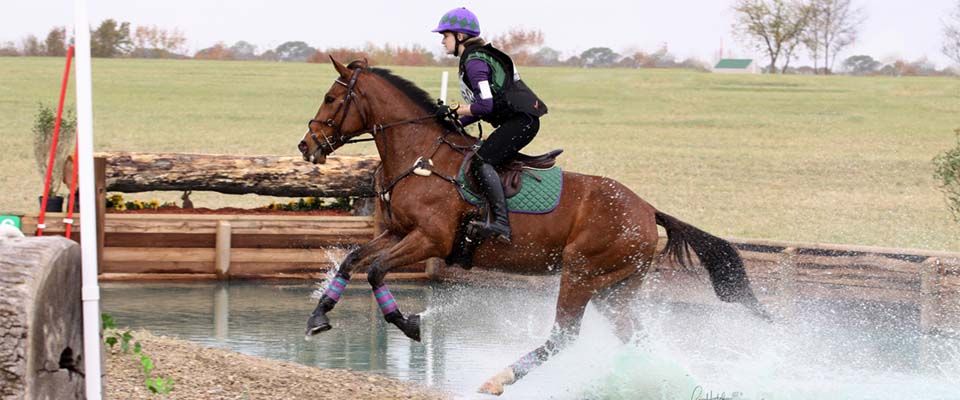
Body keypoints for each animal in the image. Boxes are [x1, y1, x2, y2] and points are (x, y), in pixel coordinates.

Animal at [298, 57, 770, 396]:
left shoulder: (430, 239)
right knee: (635, 337)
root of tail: (648, 209)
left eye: (330, 98)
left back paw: (497, 380)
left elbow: (376, 270)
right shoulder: (396, 233)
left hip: (581, 274)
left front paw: (409, 324)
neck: (422, 156)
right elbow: (353, 260)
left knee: (564, 336)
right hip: (613, 290)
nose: (307, 146)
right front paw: (318, 316)